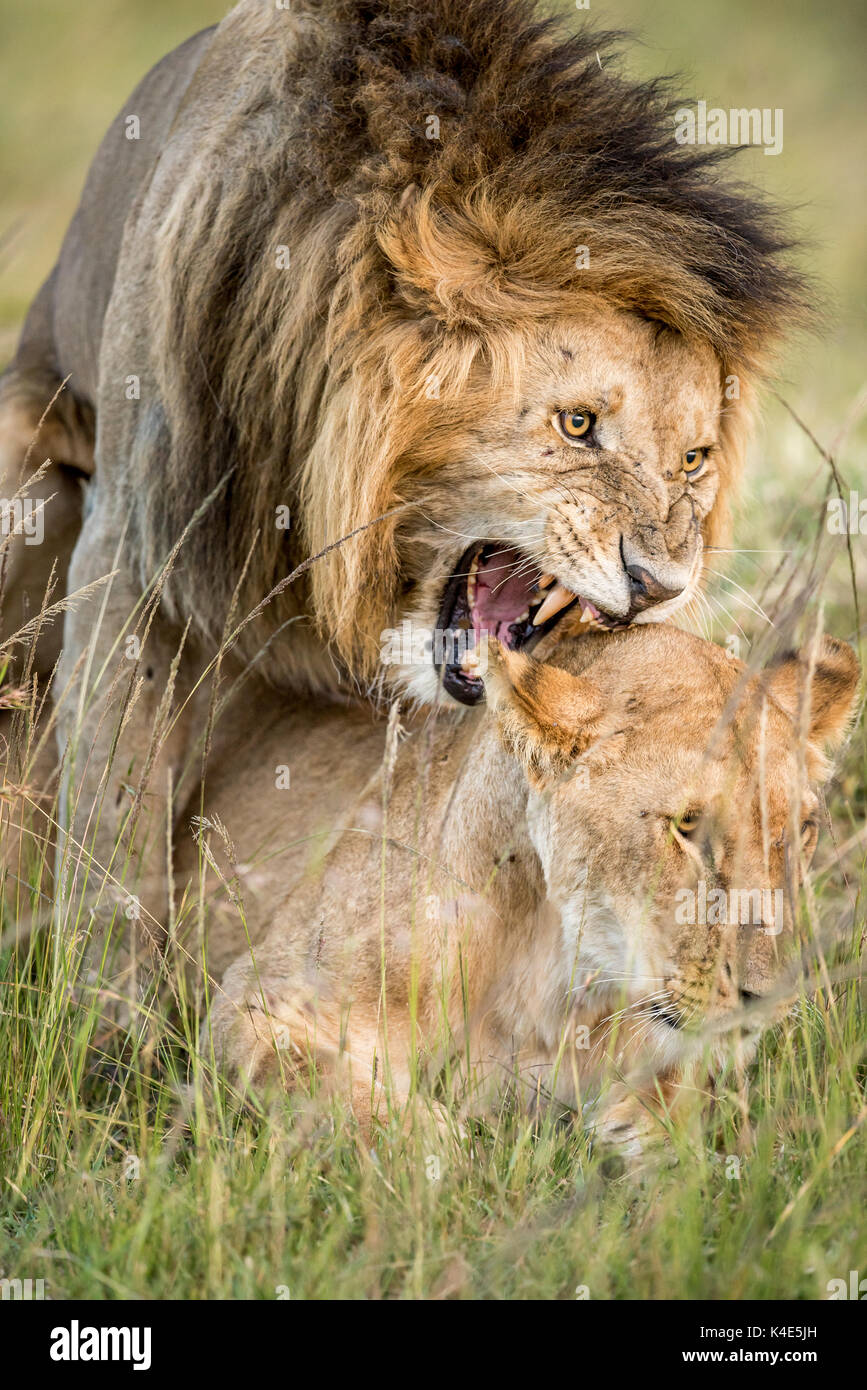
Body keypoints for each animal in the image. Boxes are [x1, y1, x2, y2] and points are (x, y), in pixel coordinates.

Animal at [0, 0, 806, 992]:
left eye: (693, 459)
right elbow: (115, 812)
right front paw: (109, 1014)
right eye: (577, 425)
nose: (660, 588)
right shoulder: (130, 549)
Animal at [181, 625, 859, 1151]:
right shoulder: (255, 999)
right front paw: (435, 1147)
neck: (548, 970)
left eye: (802, 830)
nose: (768, 998)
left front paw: (651, 1136)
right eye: (688, 826)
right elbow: (318, 1081)